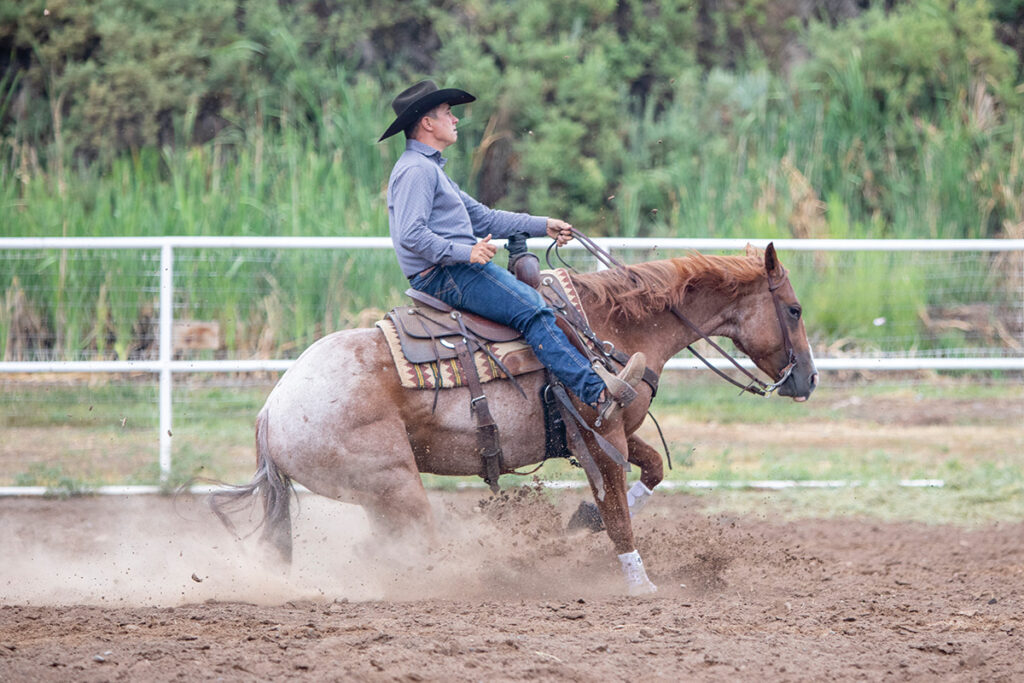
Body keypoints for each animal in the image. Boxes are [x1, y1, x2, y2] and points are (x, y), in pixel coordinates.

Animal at [210, 243, 818, 594]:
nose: (809, 379)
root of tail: (271, 408)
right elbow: (619, 512)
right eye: (793, 309)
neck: (606, 327)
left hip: (380, 495)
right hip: (394, 484)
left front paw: (581, 520)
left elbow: (652, 472)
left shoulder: (620, 433)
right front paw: (639, 583)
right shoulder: (599, 434)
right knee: (406, 549)